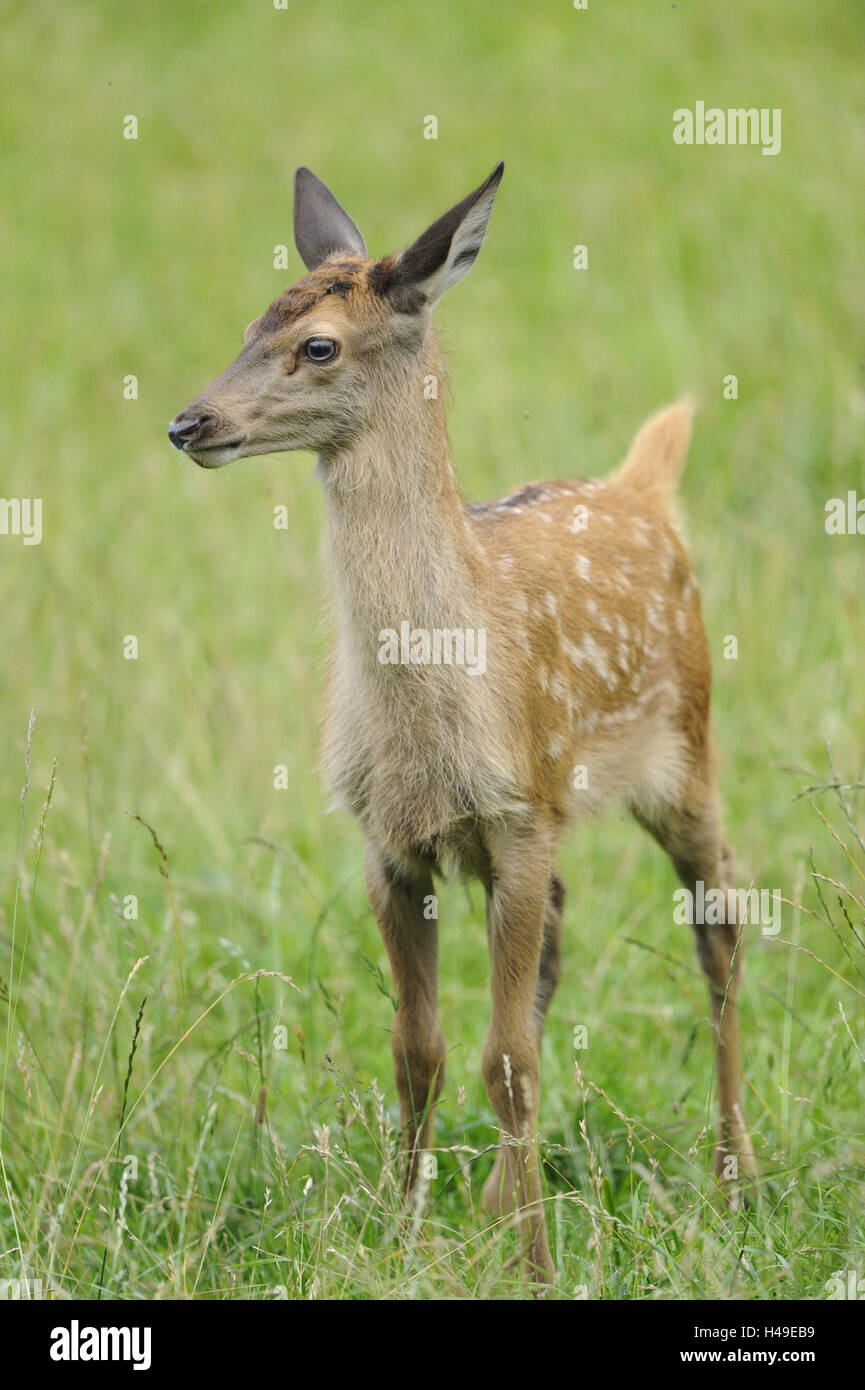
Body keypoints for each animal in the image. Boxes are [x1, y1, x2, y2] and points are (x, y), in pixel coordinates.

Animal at [169, 162, 756, 1288]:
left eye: (318, 345)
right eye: (250, 322)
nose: (188, 423)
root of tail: (641, 487)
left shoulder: (518, 813)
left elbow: (509, 1060)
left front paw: (537, 1264)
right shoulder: (388, 841)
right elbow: (421, 1050)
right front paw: (403, 1232)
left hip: (687, 749)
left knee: (721, 924)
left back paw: (734, 1174)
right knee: (562, 945)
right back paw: (493, 1199)